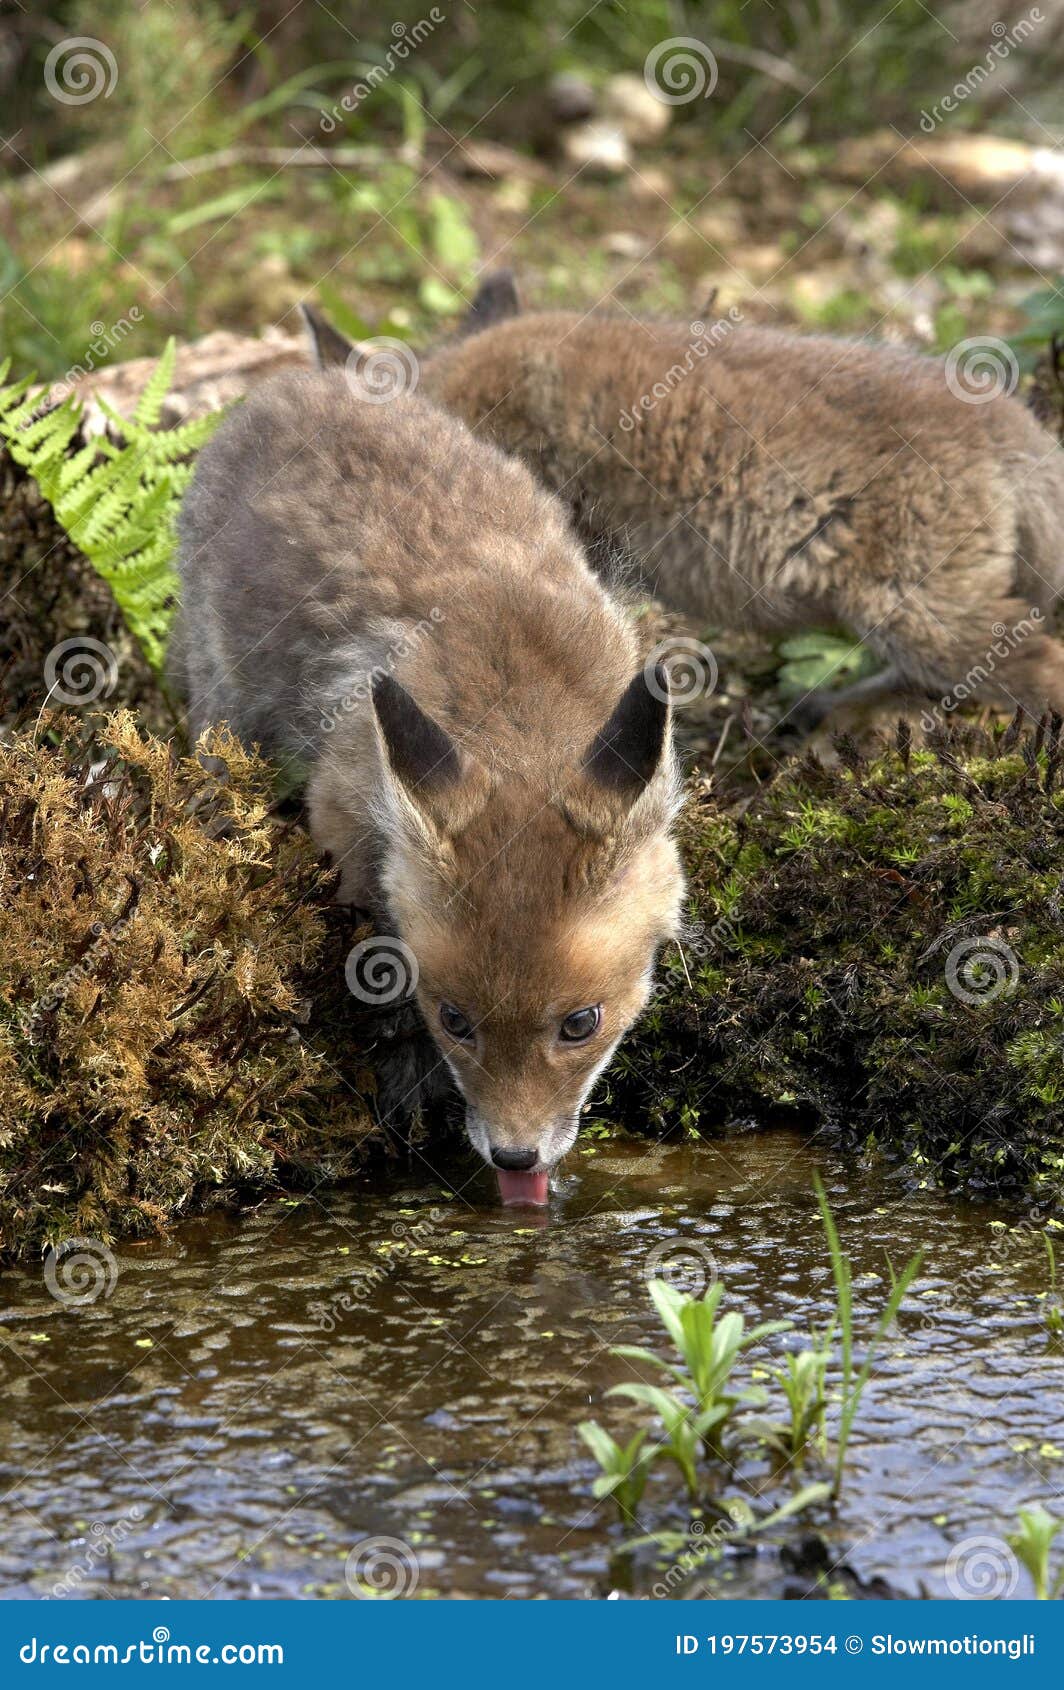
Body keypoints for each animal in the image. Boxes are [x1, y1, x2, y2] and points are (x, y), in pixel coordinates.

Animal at [174, 368, 684, 1206]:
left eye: (581, 1023)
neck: (516, 714)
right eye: (454, 1020)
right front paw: (404, 1074)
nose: (516, 1159)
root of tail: (295, 380)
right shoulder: (340, 810)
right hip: (226, 712)